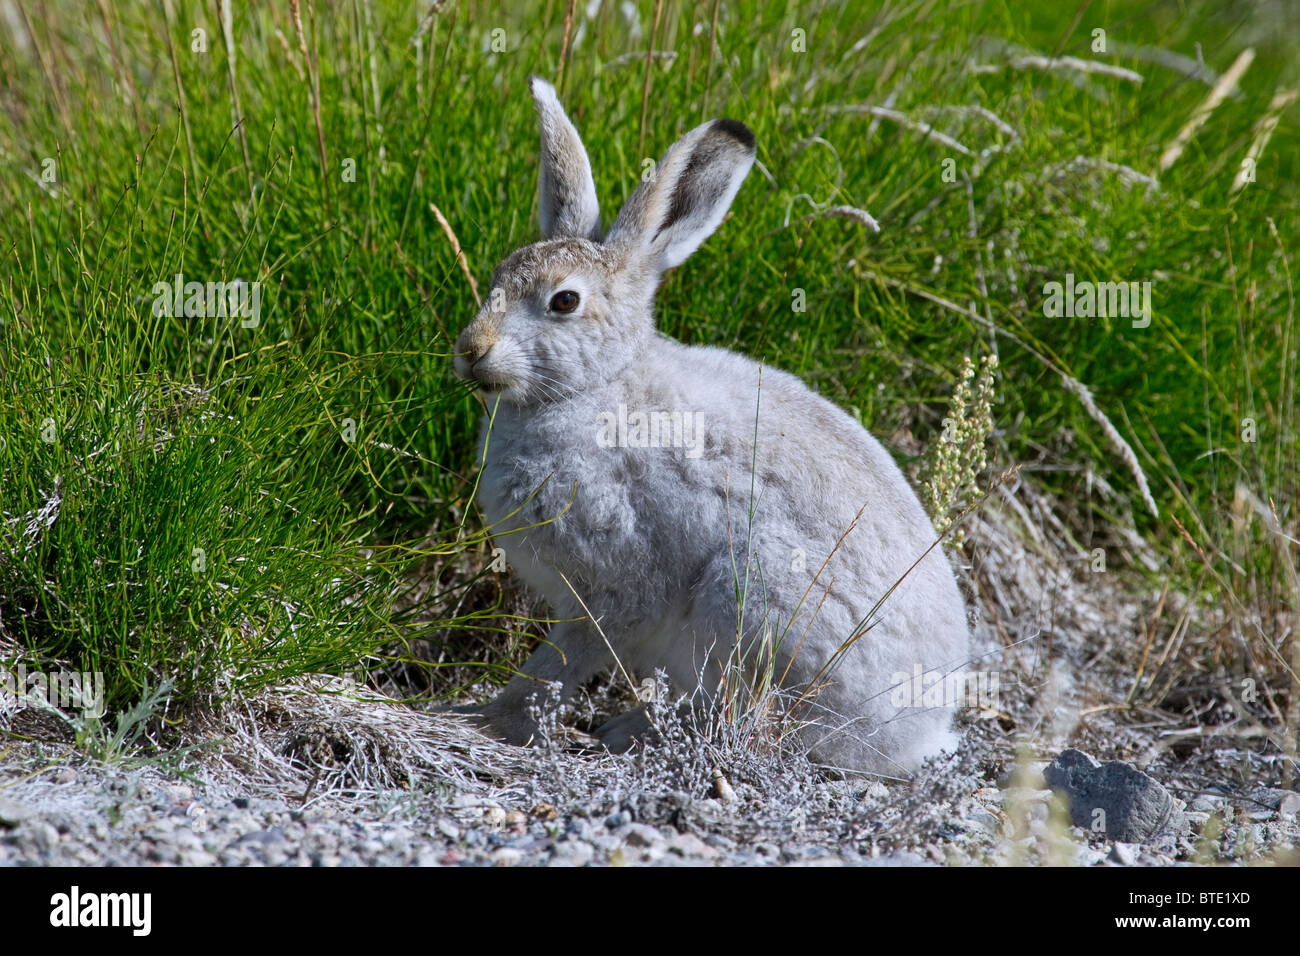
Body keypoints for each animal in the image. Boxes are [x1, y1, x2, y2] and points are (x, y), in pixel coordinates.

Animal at [451, 76, 971, 777]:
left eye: (565, 301)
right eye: (499, 275)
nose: (470, 349)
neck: (598, 387)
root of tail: (922, 728)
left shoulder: (618, 584)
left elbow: (560, 665)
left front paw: (490, 720)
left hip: (753, 599)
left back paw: (632, 732)